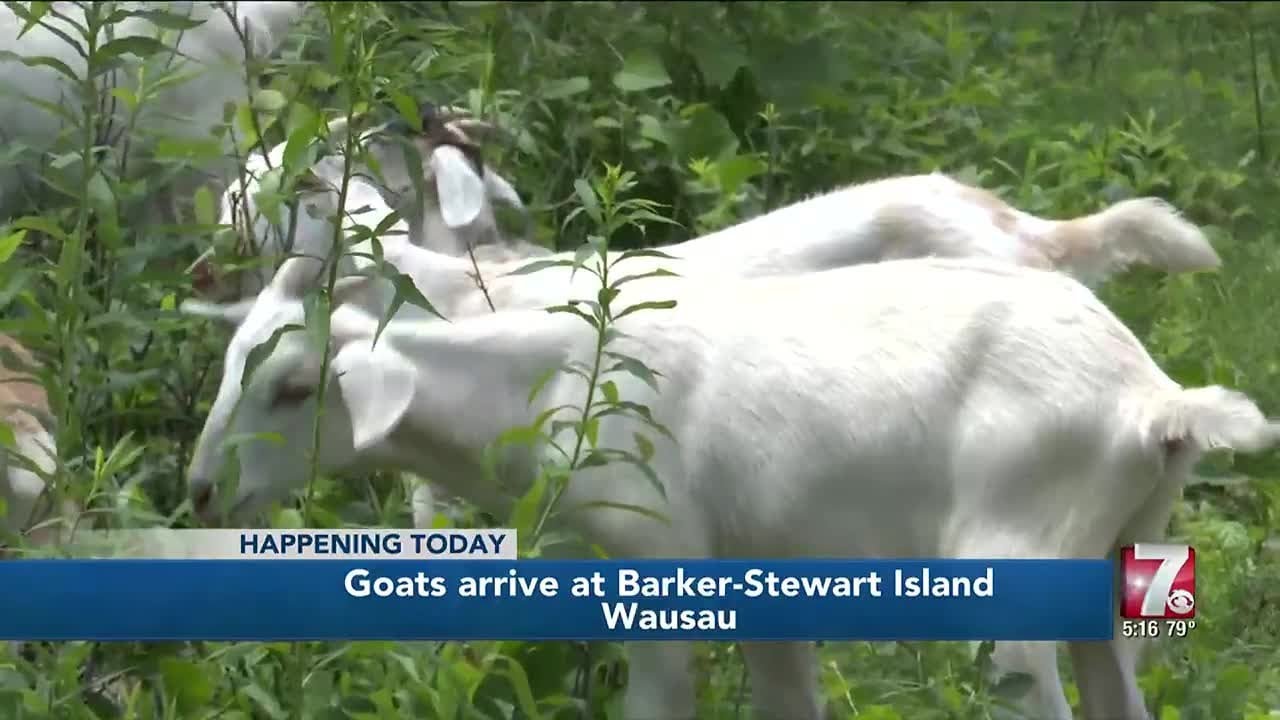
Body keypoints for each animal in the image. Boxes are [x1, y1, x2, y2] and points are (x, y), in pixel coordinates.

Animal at [182, 256, 1278, 720]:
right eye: (231, 363)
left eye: (293, 388)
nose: (197, 493)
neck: (551, 385)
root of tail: (1153, 398)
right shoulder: (763, 577)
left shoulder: (655, 558)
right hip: (1115, 558)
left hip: (1009, 566)